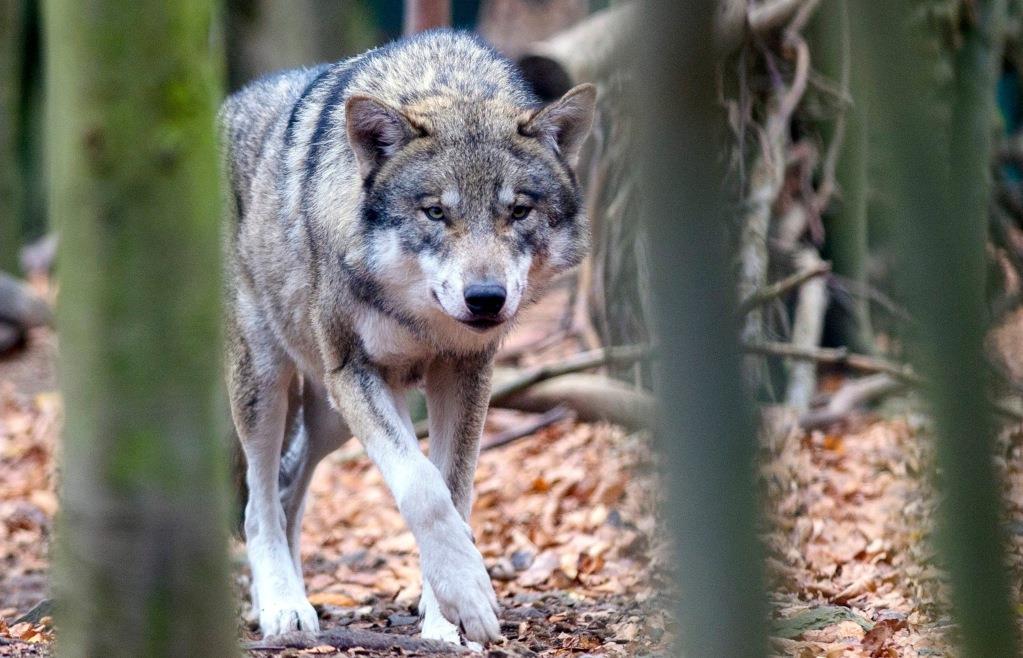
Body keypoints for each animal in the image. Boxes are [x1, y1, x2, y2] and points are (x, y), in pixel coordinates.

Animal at [219, 30, 595, 644]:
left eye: (518, 211)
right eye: (436, 212)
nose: (486, 298)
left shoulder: (465, 374)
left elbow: (454, 491)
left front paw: (447, 618)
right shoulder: (355, 373)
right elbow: (422, 487)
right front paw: (468, 597)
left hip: (328, 417)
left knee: (288, 489)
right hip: (270, 384)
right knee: (259, 502)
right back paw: (282, 606)